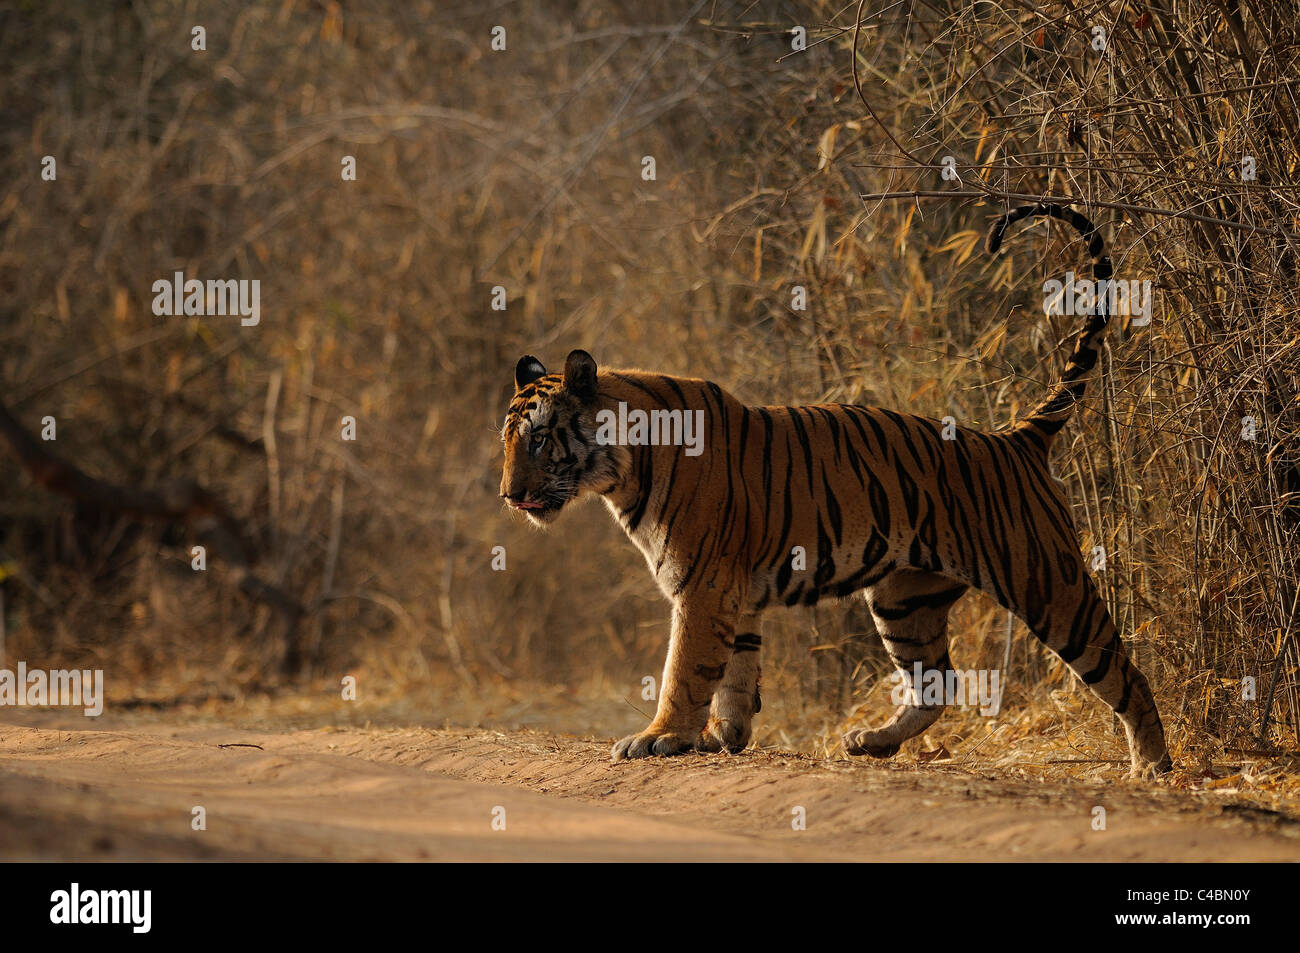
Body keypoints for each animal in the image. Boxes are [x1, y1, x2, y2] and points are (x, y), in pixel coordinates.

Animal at [499, 202, 1172, 779]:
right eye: (505, 441)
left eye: (540, 440)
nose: (508, 495)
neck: (622, 468)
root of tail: (1016, 438)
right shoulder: (735, 592)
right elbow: (736, 669)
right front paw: (724, 736)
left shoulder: (703, 584)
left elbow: (685, 667)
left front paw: (661, 737)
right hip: (904, 598)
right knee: (937, 684)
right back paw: (871, 742)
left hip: (1047, 583)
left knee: (1124, 671)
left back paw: (1153, 765)